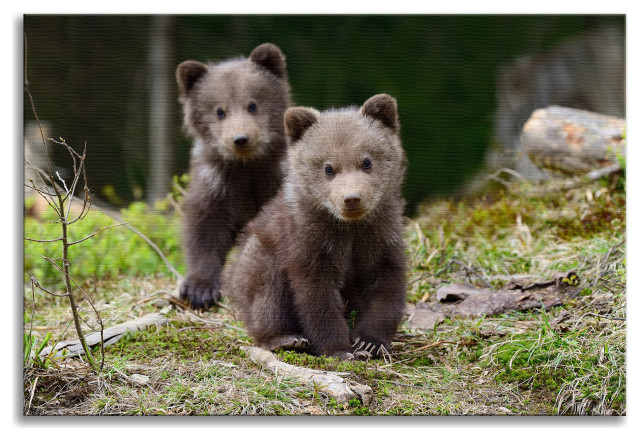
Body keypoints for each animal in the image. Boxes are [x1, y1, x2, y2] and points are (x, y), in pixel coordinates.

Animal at [176, 43, 292, 309]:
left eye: (252, 104)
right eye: (220, 110)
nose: (241, 139)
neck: (247, 166)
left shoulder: (274, 176)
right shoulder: (217, 183)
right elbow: (205, 228)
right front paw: (199, 289)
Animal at [224, 94, 408, 360]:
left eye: (367, 162)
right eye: (328, 168)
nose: (352, 198)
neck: (349, 227)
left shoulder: (380, 234)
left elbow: (386, 285)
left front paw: (369, 341)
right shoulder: (310, 241)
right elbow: (317, 296)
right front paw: (339, 349)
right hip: (259, 254)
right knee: (266, 291)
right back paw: (285, 338)